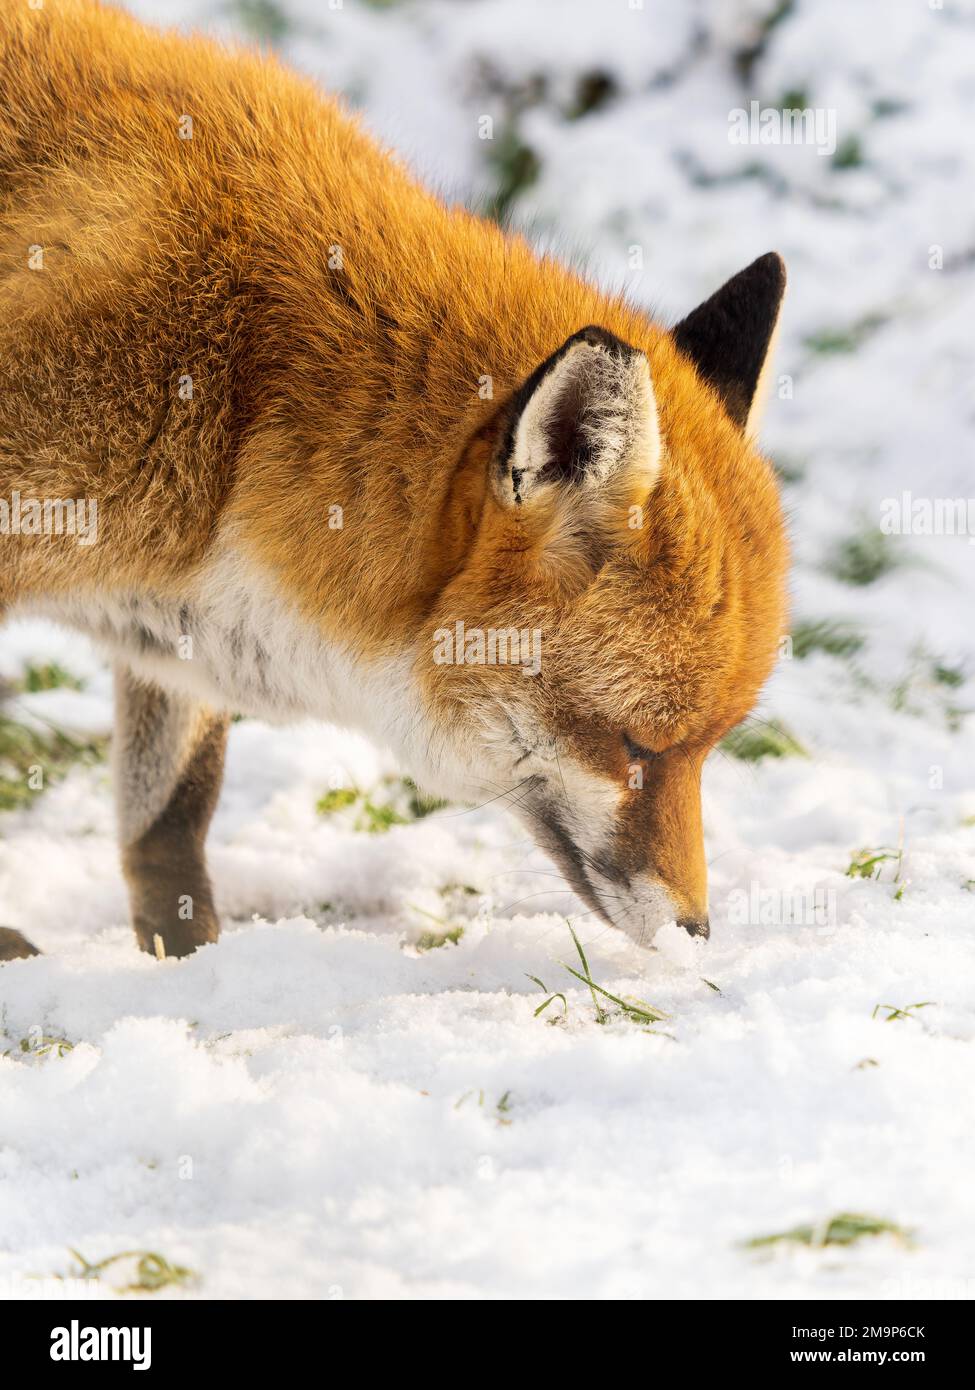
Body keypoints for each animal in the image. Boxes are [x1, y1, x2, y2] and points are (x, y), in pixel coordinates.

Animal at [0, 0, 788, 965]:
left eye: (708, 748)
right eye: (634, 746)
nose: (694, 932)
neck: (235, 405)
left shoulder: (167, 634)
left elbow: (171, 815)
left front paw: (189, 965)